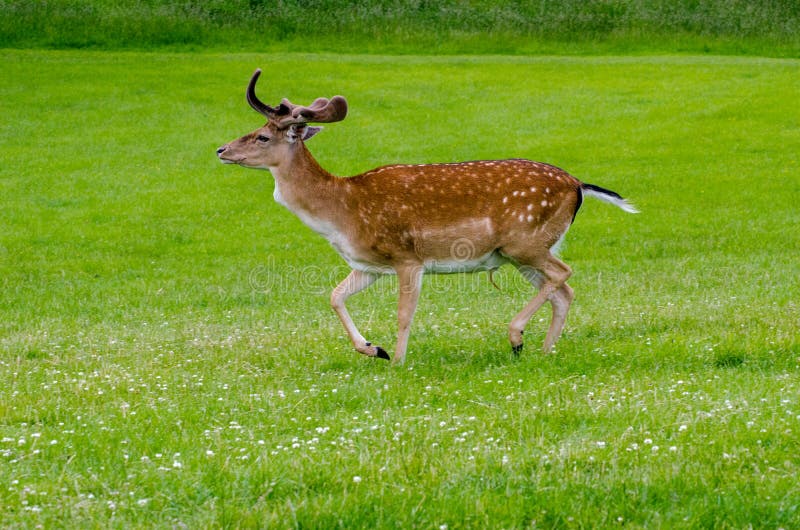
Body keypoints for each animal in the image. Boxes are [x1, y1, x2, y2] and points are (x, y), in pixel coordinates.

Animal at [217, 69, 638, 365]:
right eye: (254, 130)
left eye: (262, 137)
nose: (221, 149)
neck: (342, 210)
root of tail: (578, 185)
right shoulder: (368, 264)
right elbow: (335, 296)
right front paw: (374, 348)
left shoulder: (407, 257)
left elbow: (405, 313)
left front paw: (397, 360)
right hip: (521, 252)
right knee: (563, 291)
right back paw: (544, 351)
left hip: (526, 241)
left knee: (564, 274)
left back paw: (517, 337)